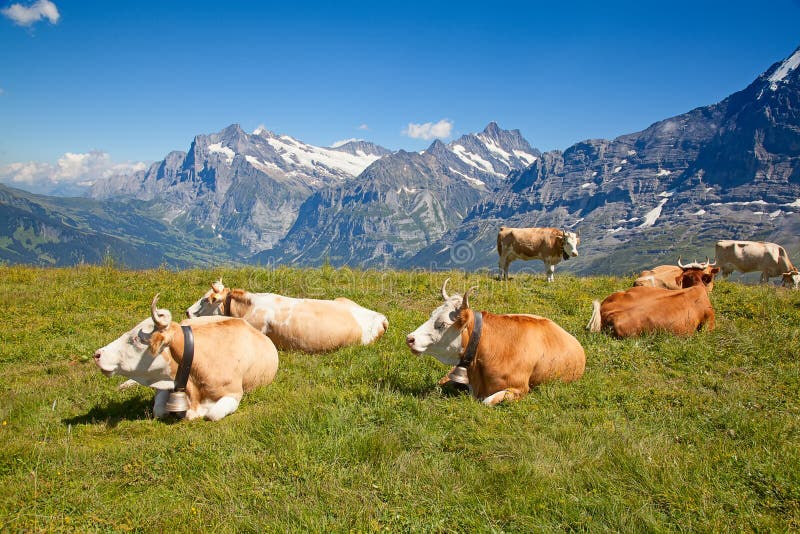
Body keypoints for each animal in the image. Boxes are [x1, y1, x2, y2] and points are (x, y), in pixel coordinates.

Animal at [405, 279, 586, 405]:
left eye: (442, 324)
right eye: (431, 314)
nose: (410, 338)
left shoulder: (520, 389)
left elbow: (487, 402)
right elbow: (439, 386)